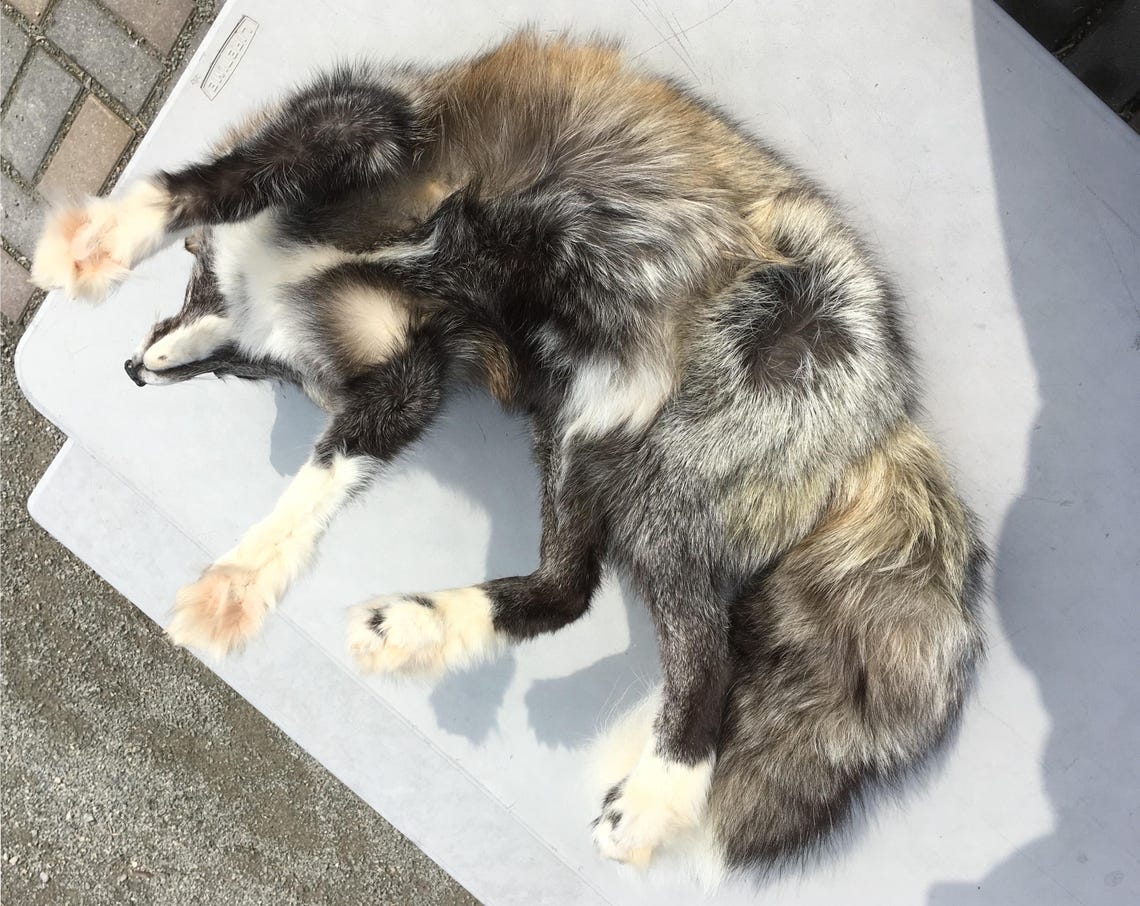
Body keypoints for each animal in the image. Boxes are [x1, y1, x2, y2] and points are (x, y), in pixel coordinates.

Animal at [32, 31, 986, 880]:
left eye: (192, 297)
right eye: (238, 373)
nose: (132, 370)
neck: (293, 271)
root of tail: (890, 419)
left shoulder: (369, 129)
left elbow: (206, 186)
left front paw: (102, 242)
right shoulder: (408, 377)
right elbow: (324, 482)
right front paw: (249, 577)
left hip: (666, 480)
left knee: (708, 659)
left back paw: (657, 799)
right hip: (577, 434)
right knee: (569, 590)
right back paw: (420, 626)